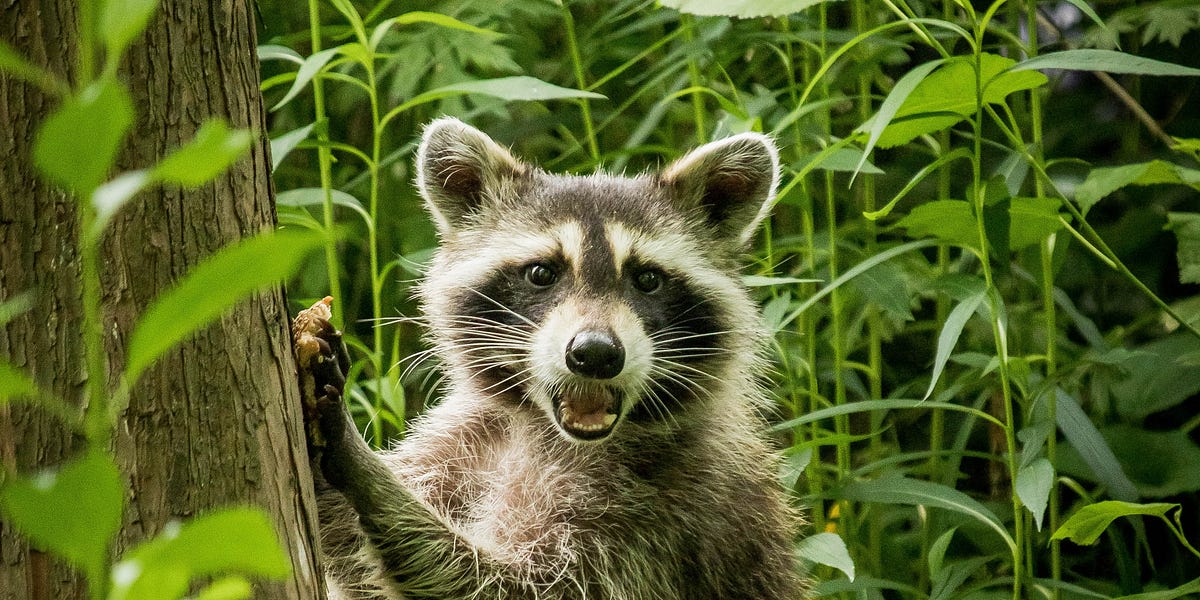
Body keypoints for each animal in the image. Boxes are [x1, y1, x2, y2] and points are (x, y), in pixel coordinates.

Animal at [300, 117, 805, 600]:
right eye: (542, 273)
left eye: (647, 279)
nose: (595, 353)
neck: (540, 428)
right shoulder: (467, 437)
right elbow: (357, 568)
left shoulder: (663, 515)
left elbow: (518, 586)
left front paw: (364, 474)